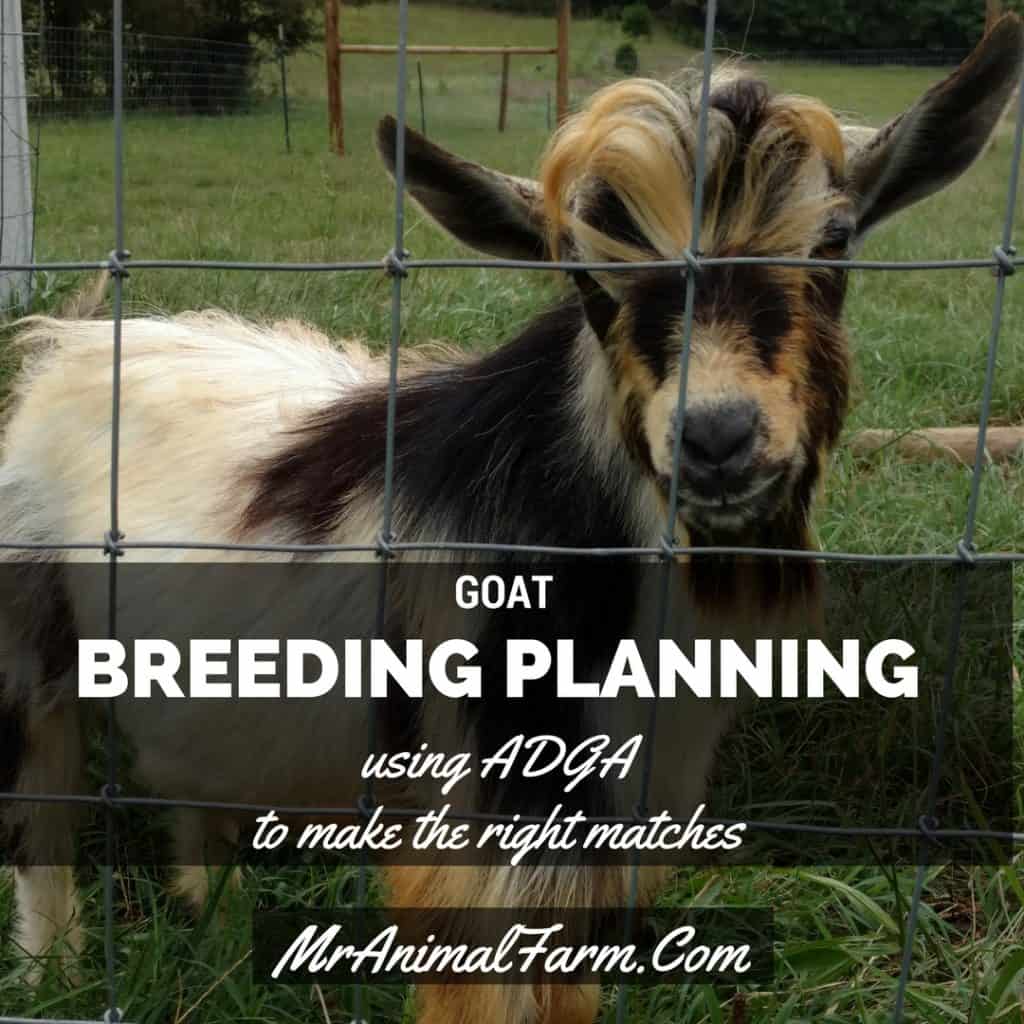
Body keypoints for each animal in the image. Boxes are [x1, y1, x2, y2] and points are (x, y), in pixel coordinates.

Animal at [2, 17, 1022, 1024]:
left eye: (837, 240)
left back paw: (219, 934)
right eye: (587, 276)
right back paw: (57, 975)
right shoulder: (471, 827)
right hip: (35, 636)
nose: (717, 436)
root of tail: (67, 344)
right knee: (41, 804)